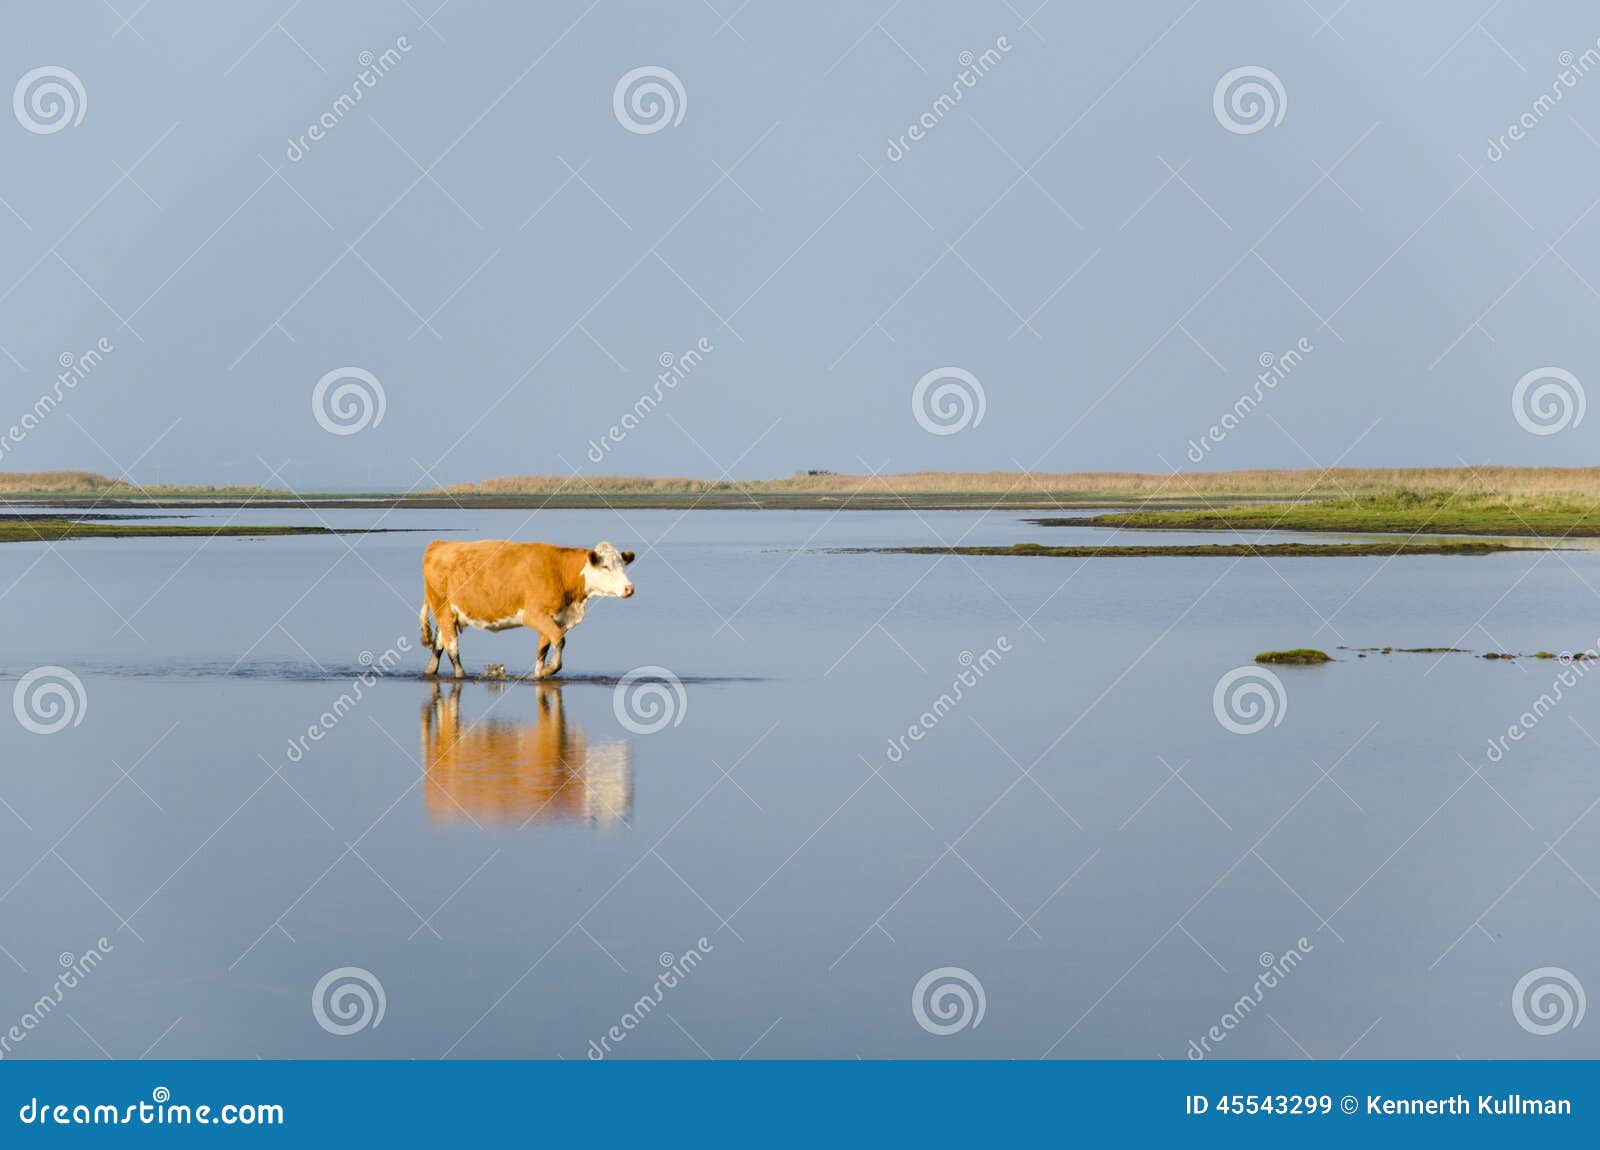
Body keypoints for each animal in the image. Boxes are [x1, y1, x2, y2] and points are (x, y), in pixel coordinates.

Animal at [420, 539, 635, 678]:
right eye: (606, 566)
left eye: (623, 565)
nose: (629, 588)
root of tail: (440, 544)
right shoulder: (534, 615)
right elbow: (559, 640)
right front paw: (549, 669)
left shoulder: (556, 618)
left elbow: (543, 648)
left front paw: (539, 673)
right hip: (443, 608)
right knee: (452, 647)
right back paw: (461, 675)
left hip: (448, 612)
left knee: (439, 643)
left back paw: (430, 670)